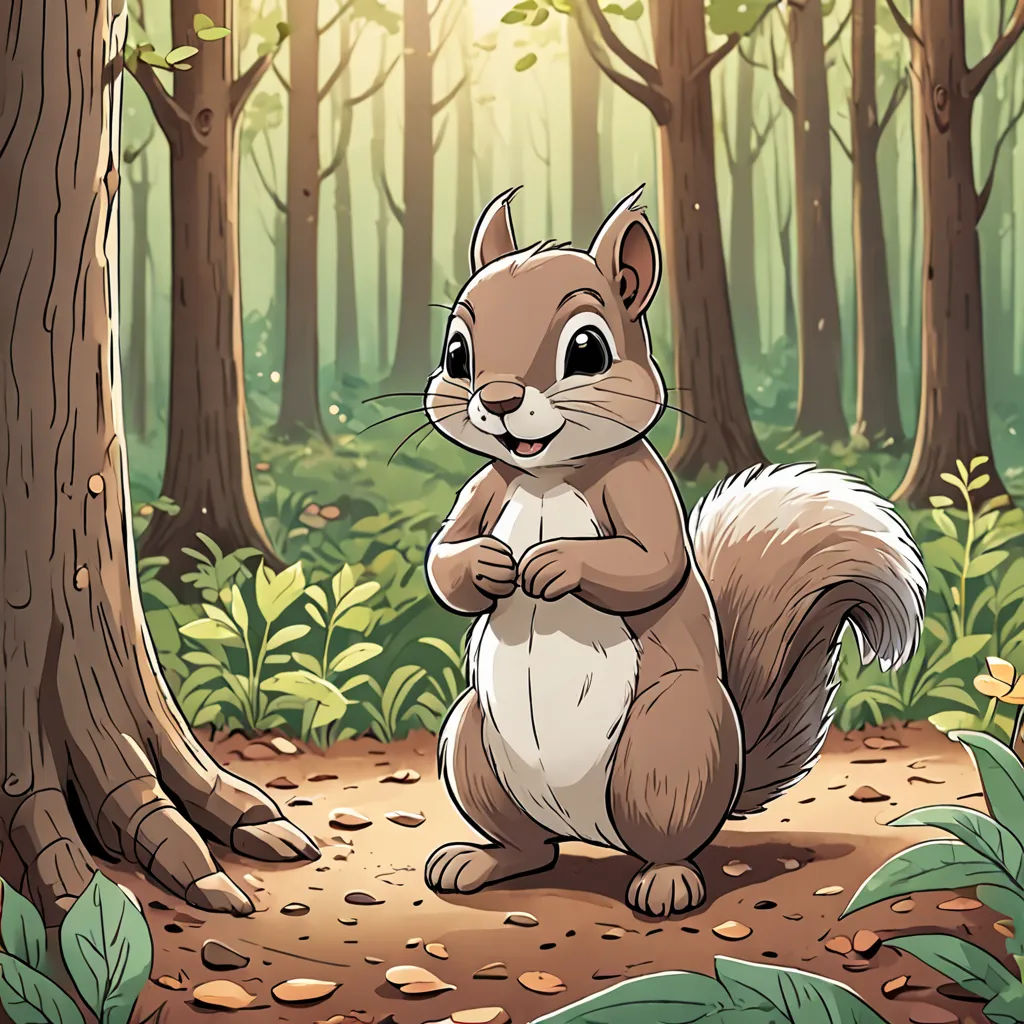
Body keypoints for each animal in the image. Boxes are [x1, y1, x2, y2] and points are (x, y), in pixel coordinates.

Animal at [421, 186, 927, 918]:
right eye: (457, 353)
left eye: (587, 349)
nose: (499, 399)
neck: (546, 474)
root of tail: (591, 832)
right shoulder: (486, 488)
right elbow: (444, 558)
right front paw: (487, 565)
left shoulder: (642, 485)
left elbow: (652, 563)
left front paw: (554, 563)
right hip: (471, 743)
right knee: (533, 848)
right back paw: (480, 861)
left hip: (669, 745)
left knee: (666, 841)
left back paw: (665, 882)